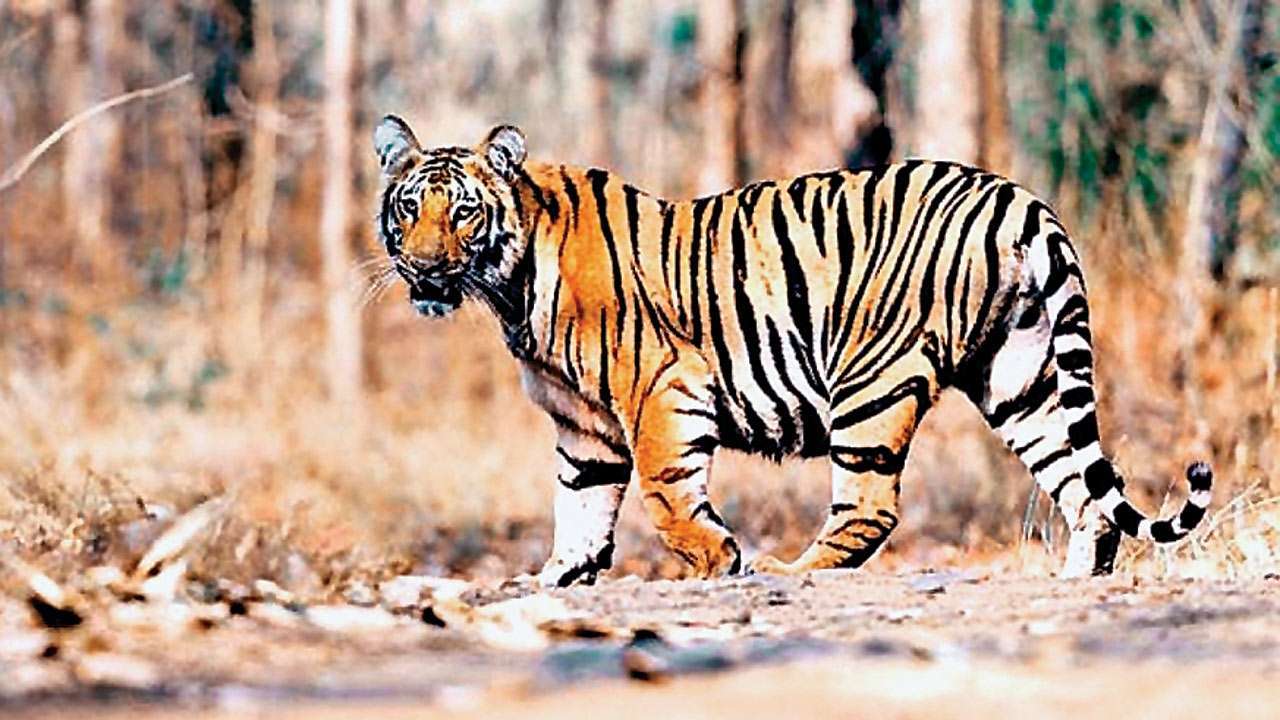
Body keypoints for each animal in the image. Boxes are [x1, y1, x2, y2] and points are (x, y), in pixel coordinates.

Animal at [372, 115, 1213, 587]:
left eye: (463, 213)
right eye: (409, 208)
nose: (425, 267)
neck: (511, 289)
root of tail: (1019, 200)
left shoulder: (664, 388)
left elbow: (664, 492)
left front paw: (717, 560)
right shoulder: (584, 424)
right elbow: (578, 504)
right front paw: (555, 578)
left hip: (870, 381)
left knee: (871, 506)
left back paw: (790, 570)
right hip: (1023, 377)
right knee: (1084, 490)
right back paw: (1078, 580)